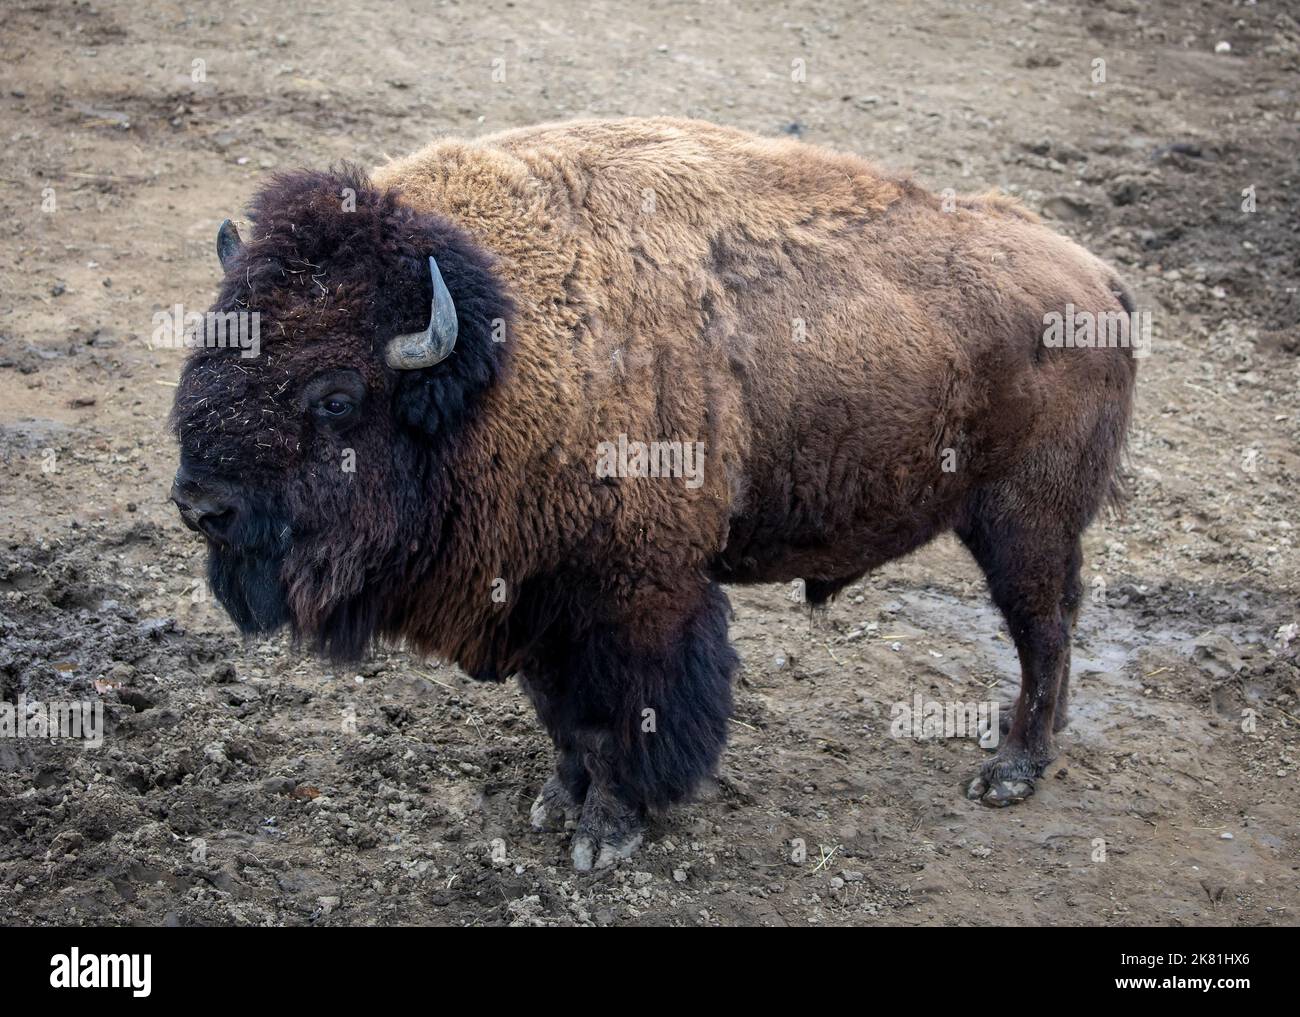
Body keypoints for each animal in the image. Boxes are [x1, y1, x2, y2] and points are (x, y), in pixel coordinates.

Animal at [171, 118, 1138, 869]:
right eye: (214, 338)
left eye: (335, 395)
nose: (201, 504)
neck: (500, 352)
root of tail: (1097, 278)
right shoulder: (541, 595)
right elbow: (563, 717)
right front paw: (556, 801)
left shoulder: (638, 594)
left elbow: (624, 716)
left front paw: (608, 832)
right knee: (1056, 622)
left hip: (1022, 521)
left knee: (1044, 629)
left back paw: (1010, 771)